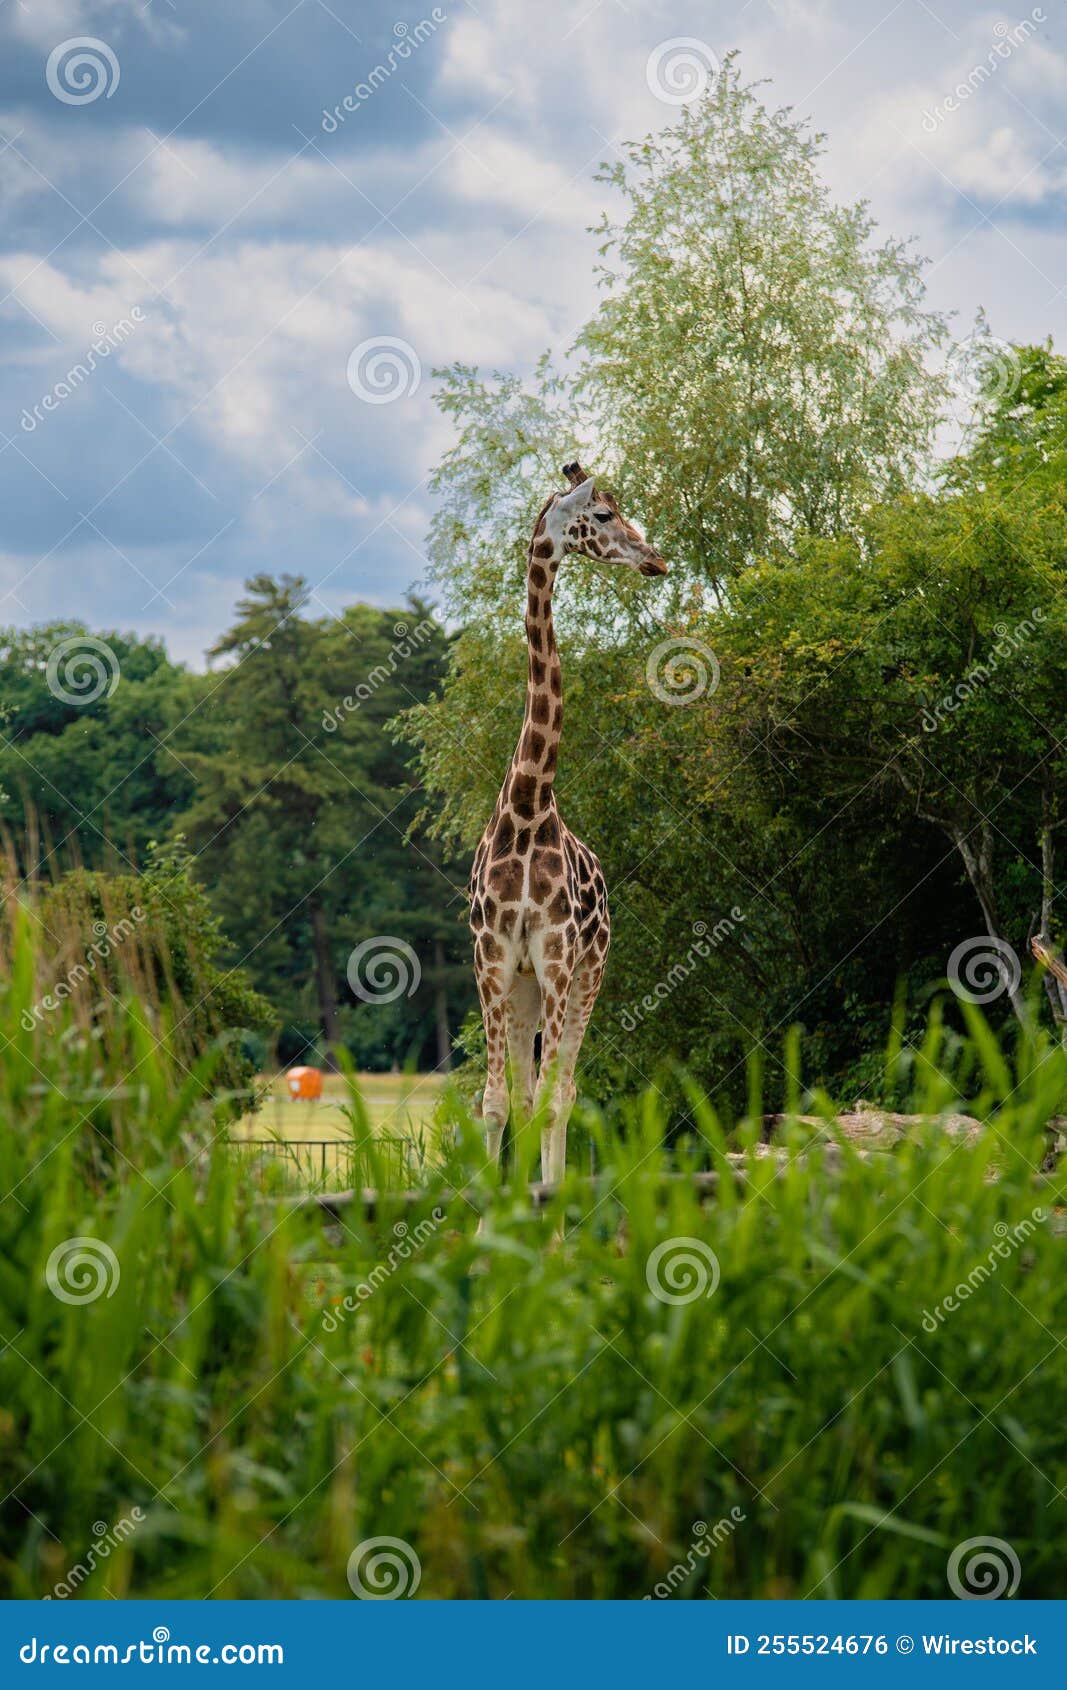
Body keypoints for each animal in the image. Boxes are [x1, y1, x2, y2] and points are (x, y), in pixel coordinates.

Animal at [468, 461, 668, 1188]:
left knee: (567, 1089)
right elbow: (499, 1102)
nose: (655, 559)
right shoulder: (493, 958)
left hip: (589, 974)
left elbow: (553, 1101)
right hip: (525, 987)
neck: (529, 804)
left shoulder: (557, 955)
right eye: (603, 515)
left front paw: (546, 1210)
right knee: (533, 1093)